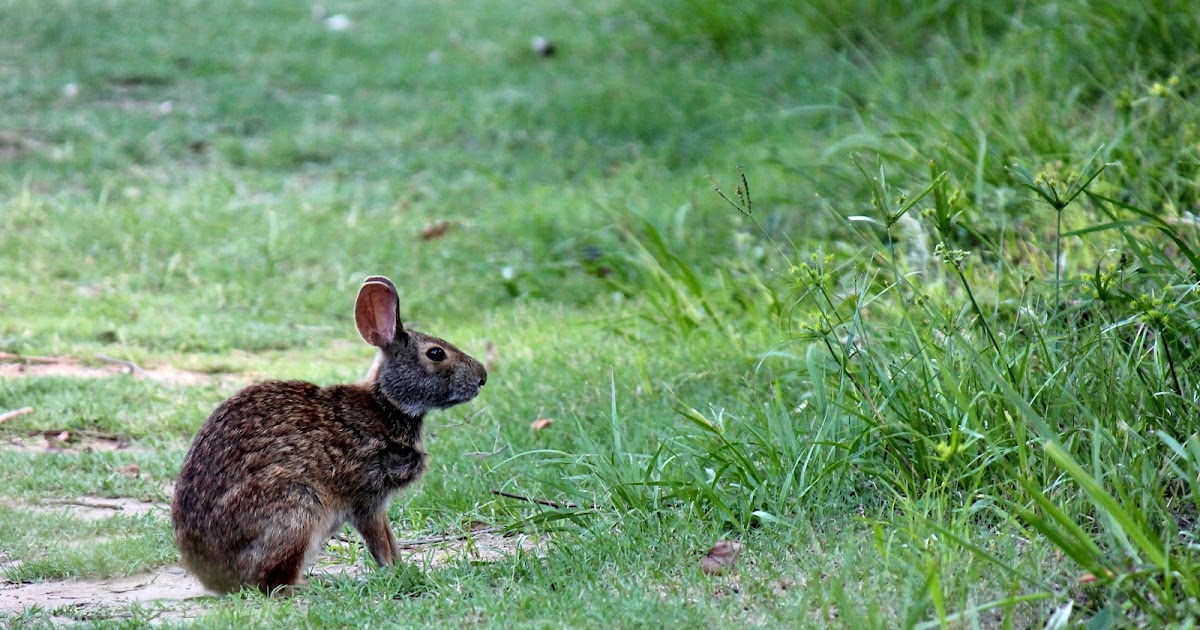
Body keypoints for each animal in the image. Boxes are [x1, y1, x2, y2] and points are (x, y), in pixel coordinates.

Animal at [171, 275, 487, 594]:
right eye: (436, 353)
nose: (482, 377)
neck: (386, 403)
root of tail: (210, 574)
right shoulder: (366, 498)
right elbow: (380, 542)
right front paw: (395, 571)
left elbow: (389, 537)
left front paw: (404, 568)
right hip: (298, 507)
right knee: (271, 581)